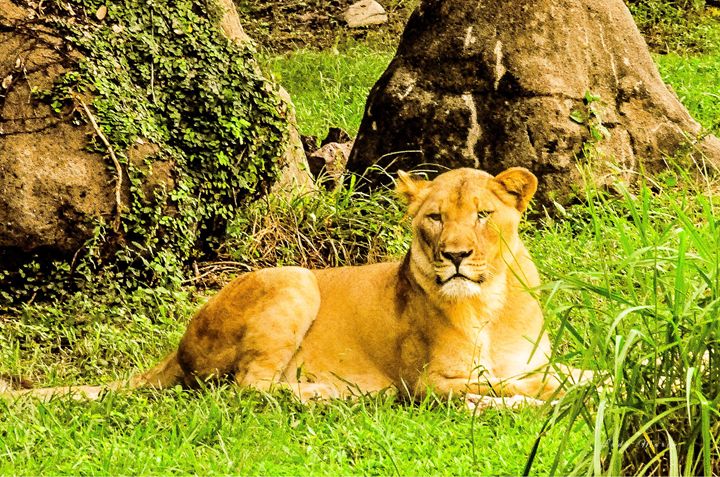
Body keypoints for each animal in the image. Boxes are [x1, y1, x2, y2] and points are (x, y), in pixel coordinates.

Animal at [2, 167, 587, 406]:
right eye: (436, 219)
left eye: (484, 215)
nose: (456, 257)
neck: (490, 300)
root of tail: (177, 347)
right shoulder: (428, 382)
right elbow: (511, 388)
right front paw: (562, 398)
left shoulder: (530, 360)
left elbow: (568, 373)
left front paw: (600, 381)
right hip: (296, 278)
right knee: (247, 389)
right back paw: (325, 394)